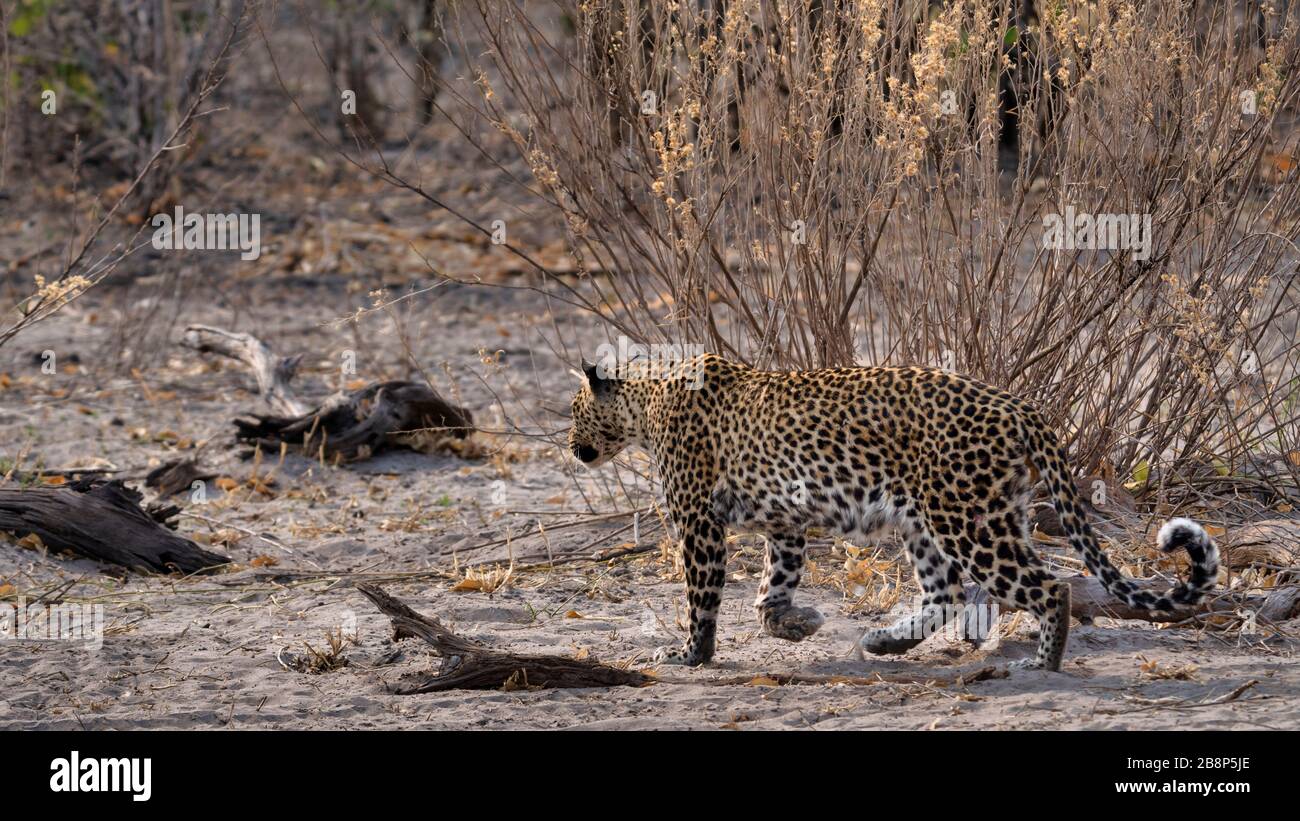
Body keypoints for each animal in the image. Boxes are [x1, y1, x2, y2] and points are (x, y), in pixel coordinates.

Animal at [567, 353, 1219, 671]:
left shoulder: (699, 524)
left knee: (1048, 585)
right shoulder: (786, 522)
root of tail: (1020, 406)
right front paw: (795, 624)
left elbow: (701, 598)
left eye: (574, 412)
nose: (571, 447)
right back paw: (887, 643)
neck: (648, 401)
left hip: (966, 520)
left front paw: (690, 655)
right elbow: (773, 585)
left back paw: (1043, 662)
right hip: (940, 519)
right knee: (948, 593)